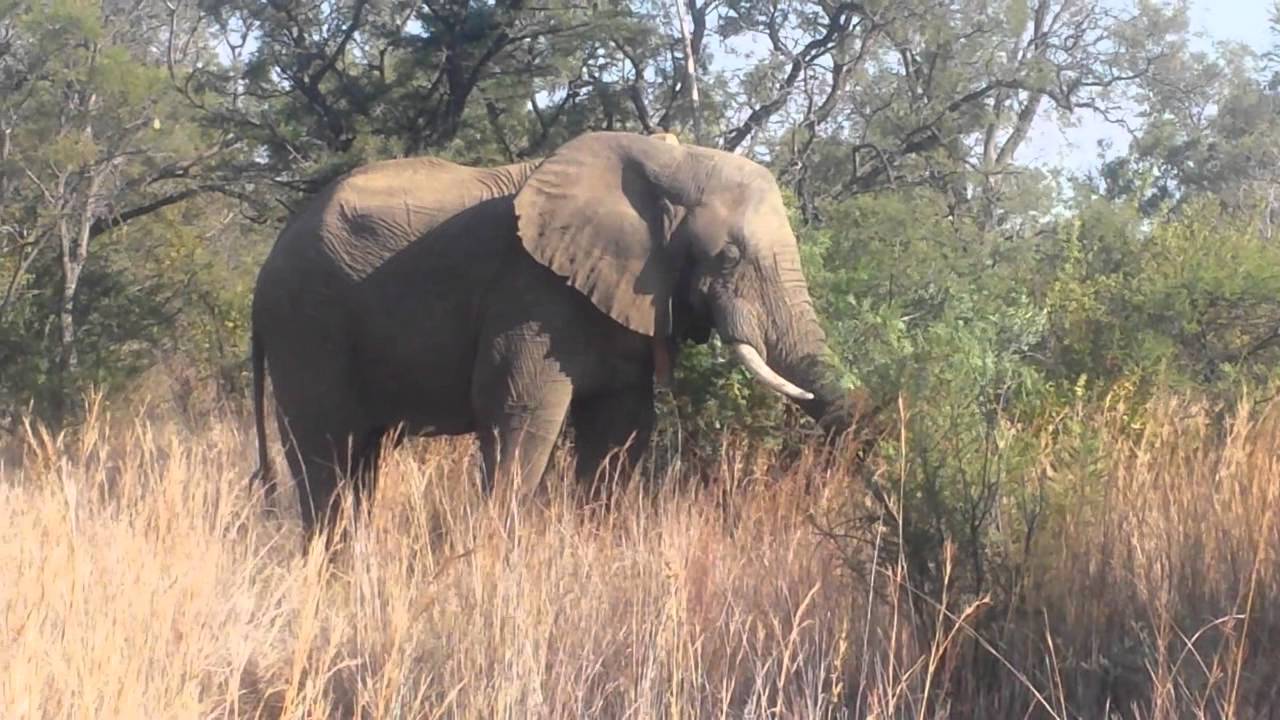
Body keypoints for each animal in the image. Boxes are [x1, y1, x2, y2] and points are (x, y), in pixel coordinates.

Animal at [250, 130, 880, 533]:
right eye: (727, 257)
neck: (666, 161)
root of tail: (266, 265)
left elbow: (621, 429)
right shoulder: (529, 289)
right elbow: (522, 414)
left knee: (361, 457)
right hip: (307, 323)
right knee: (327, 454)